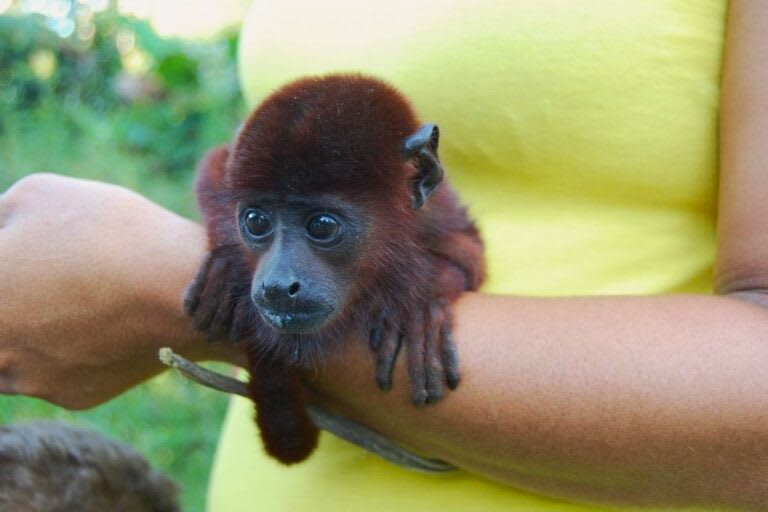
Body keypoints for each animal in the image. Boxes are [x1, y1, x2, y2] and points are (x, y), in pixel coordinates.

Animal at [184, 74, 484, 465]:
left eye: (322, 226)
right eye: (255, 220)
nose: (277, 285)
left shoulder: (441, 216)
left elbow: (470, 257)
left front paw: (418, 304)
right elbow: (212, 163)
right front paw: (229, 265)